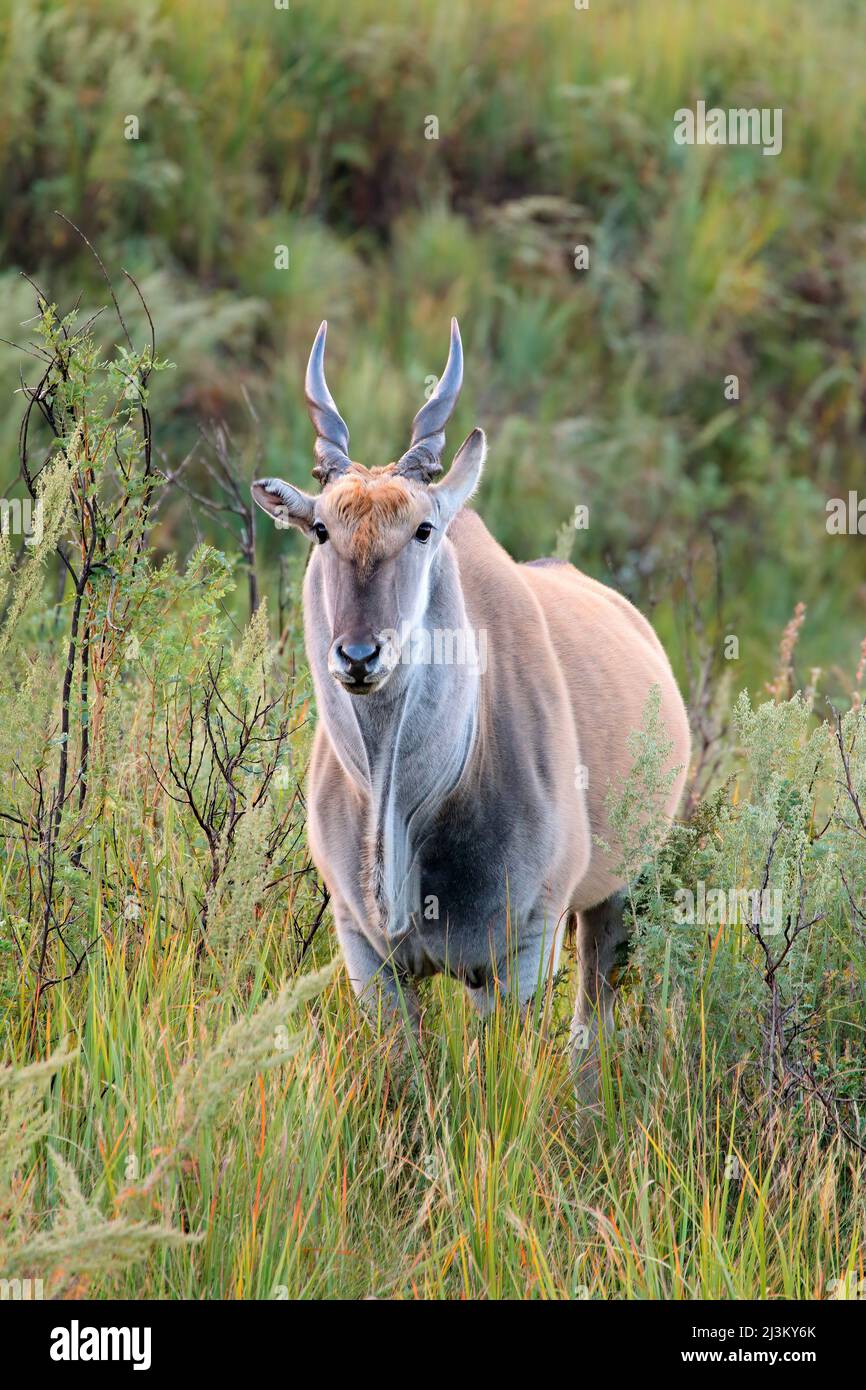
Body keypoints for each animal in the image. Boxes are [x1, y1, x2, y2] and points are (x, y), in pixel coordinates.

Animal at [253, 320, 691, 1105]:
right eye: (321, 530)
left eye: (424, 529)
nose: (359, 654)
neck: (413, 803)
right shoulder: (369, 958)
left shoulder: (518, 954)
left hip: (618, 894)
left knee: (591, 1029)